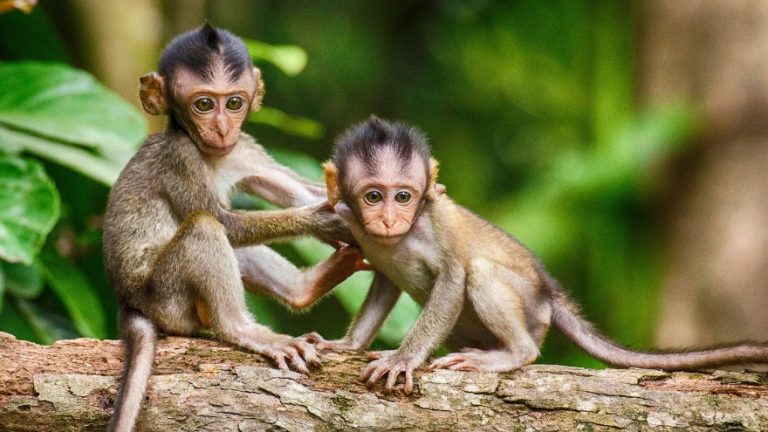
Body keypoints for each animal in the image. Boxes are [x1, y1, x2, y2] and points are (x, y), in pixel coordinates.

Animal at [103, 24, 365, 432]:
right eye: (203, 105)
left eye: (234, 103)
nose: (223, 129)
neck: (208, 152)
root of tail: (128, 302)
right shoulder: (180, 157)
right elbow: (225, 221)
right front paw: (325, 220)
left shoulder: (243, 149)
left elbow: (297, 191)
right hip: (167, 299)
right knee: (205, 227)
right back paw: (242, 329)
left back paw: (304, 289)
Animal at [315, 116, 768, 394]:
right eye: (374, 197)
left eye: (404, 197)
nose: (390, 219)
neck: (402, 236)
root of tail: (549, 295)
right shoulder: (353, 224)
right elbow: (384, 281)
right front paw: (348, 344)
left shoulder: (436, 219)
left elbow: (454, 276)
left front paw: (404, 358)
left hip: (531, 311)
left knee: (482, 273)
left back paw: (513, 354)